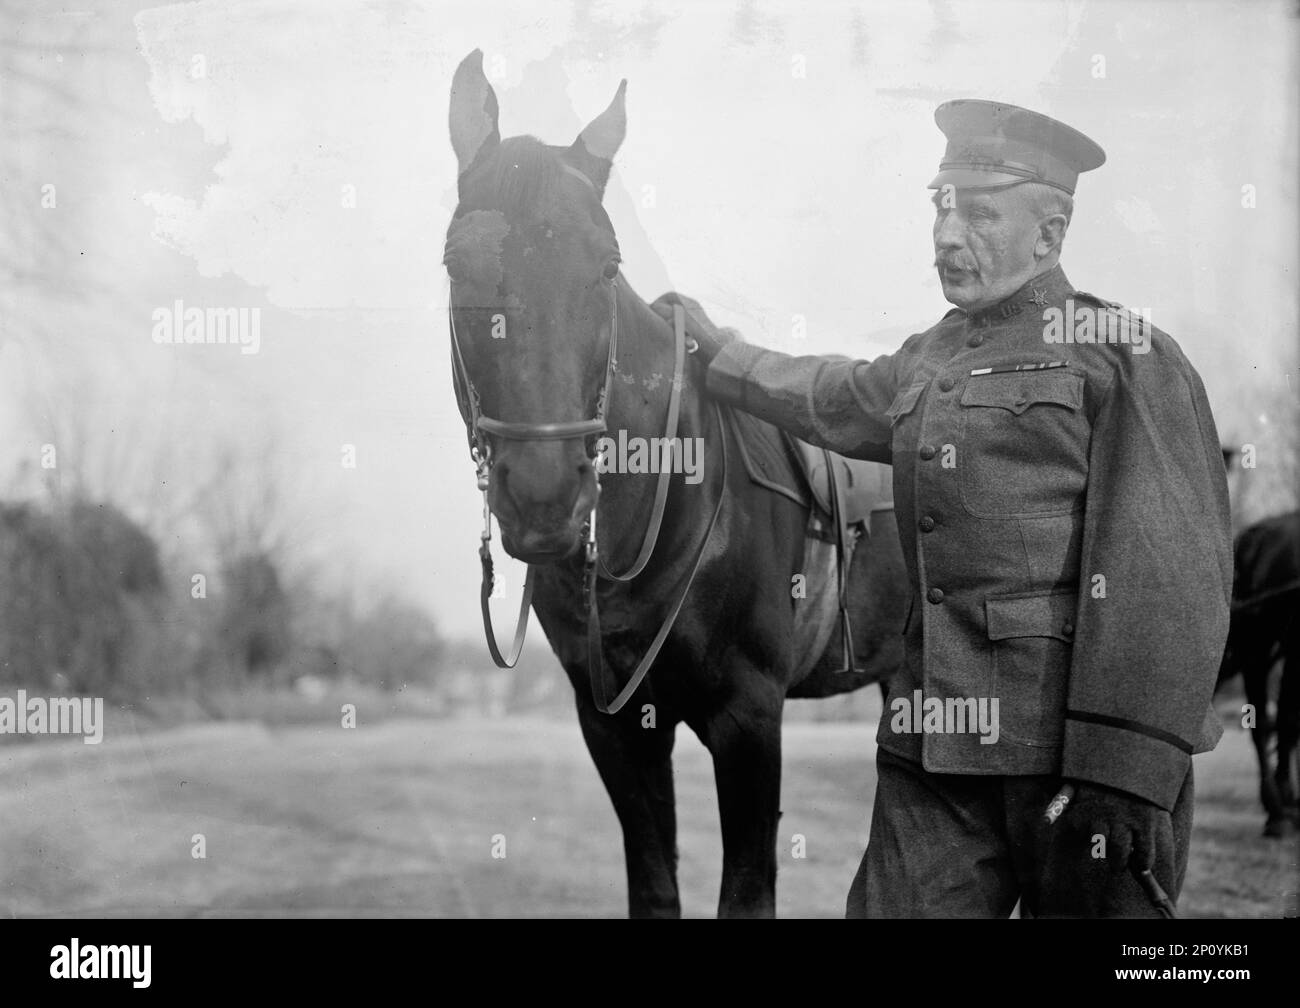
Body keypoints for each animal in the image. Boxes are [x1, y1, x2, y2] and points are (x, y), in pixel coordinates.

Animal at [447, 51, 904, 920]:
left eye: (606, 266)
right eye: (458, 265)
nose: (546, 498)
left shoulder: (749, 719)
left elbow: (747, 893)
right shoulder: (617, 725)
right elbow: (655, 887)